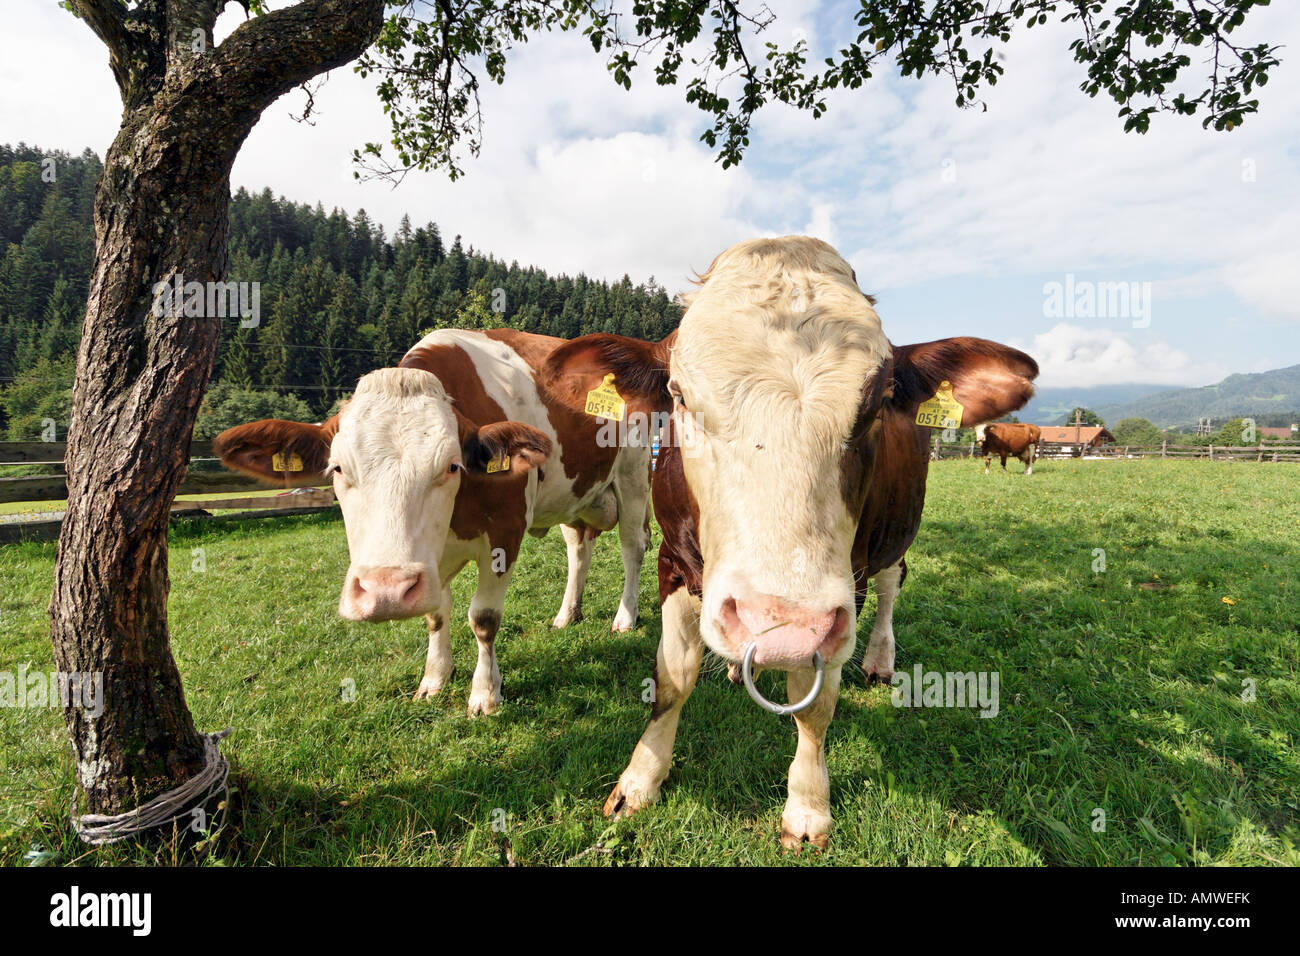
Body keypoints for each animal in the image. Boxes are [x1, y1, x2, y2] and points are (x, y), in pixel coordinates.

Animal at [213, 328, 652, 716]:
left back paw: (624, 617)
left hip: (632, 478)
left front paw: (485, 694)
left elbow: (483, 618)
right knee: (578, 548)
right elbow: (437, 613)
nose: (385, 591)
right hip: (576, 493)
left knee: (632, 548)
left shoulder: (505, 533)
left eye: (452, 466)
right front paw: (435, 679)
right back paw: (567, 614)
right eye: (337, 468)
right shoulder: (428, 561)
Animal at [542, 236, 1038, 849]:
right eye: (679, 396)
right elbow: (672, 681)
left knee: (894, 584)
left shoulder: (842, 594)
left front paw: (807, 808)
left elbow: (816, 705)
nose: (778, 625)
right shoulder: (673, 560)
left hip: (894, 539)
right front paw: (639, 781)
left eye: (878, 404)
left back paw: (880, 657)